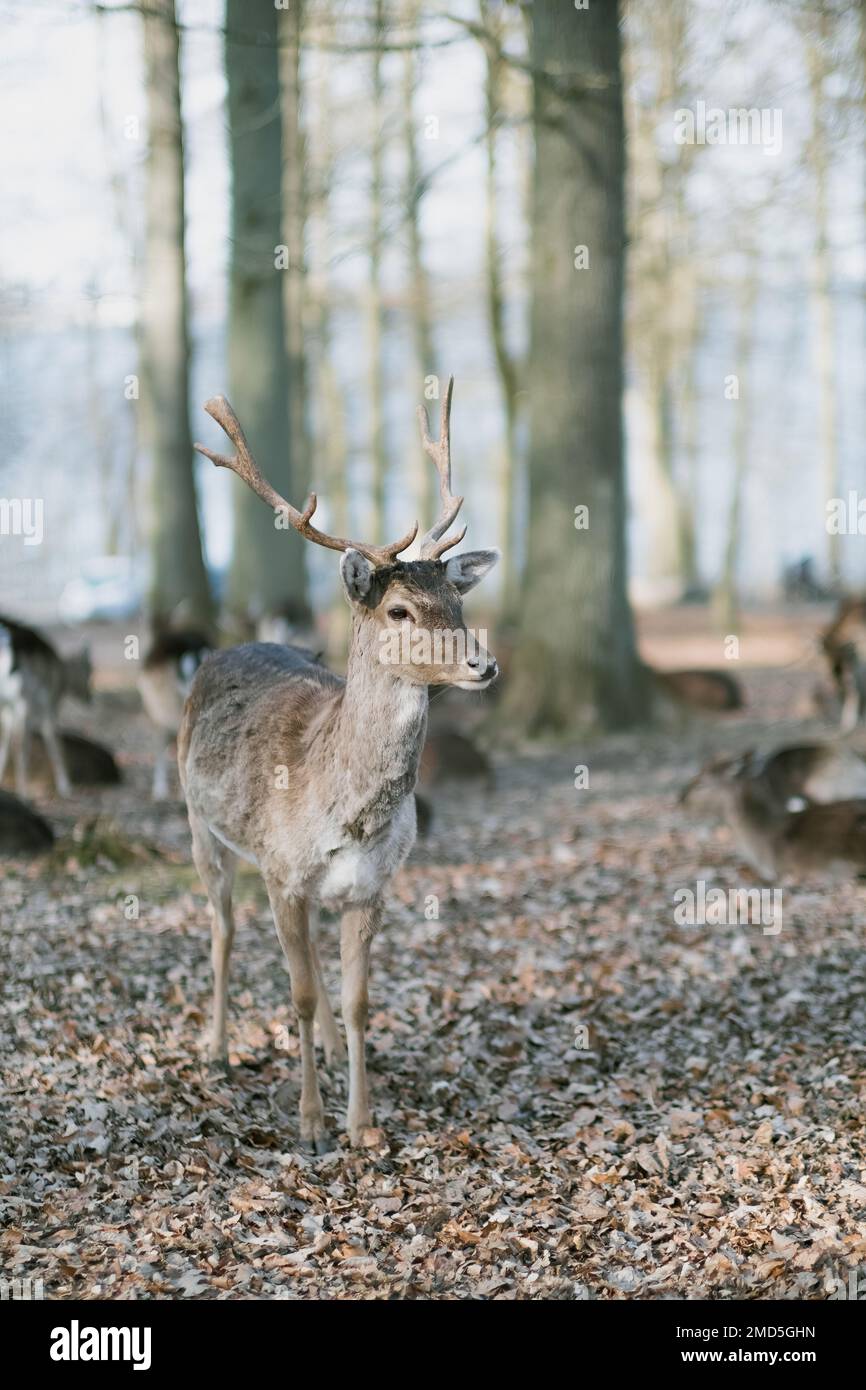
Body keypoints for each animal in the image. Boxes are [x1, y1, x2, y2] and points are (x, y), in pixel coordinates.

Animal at [179, 379, 498, 1148]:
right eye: (401, 611)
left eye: (457, 598)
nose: (484, 664)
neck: (342, 810)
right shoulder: (280, 872)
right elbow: (294, 994)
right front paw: (312, 1123)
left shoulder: (371, 886)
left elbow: (357, 1000)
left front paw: (366, 1125)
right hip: (200, 824)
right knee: (223, 930)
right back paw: (217, 1048)